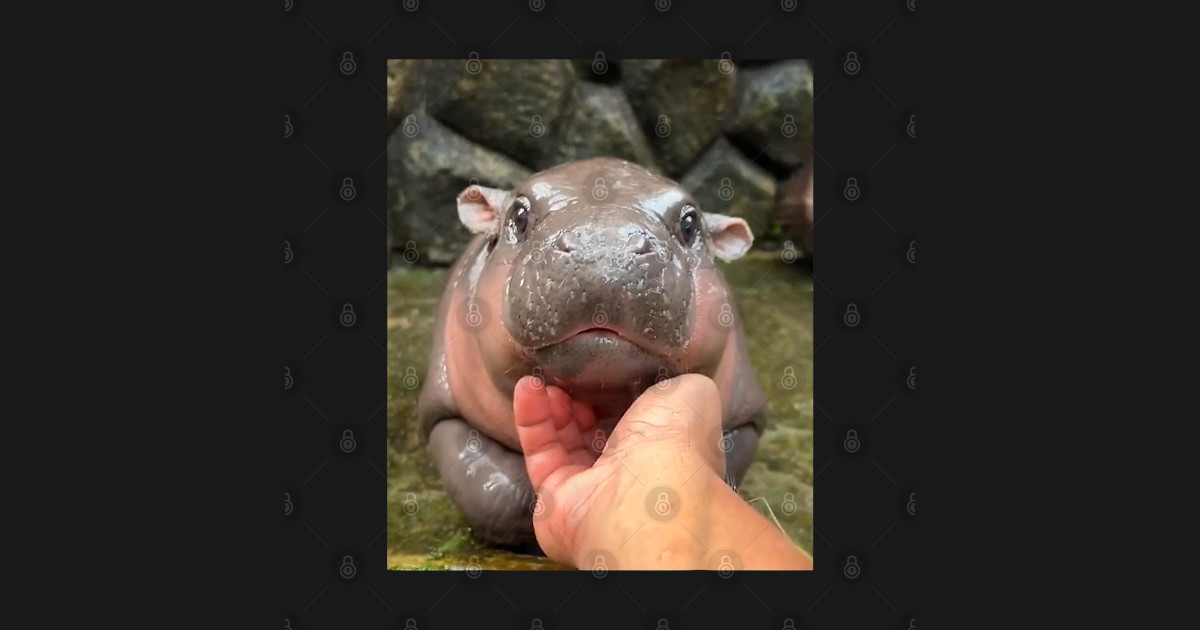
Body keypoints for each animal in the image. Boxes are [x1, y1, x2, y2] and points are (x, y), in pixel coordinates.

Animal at [416, 157, 766, 546]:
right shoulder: (442, 411)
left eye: (690, 224)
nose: (604, 246)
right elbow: (496, 492)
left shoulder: (746, 419)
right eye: (519, 215)